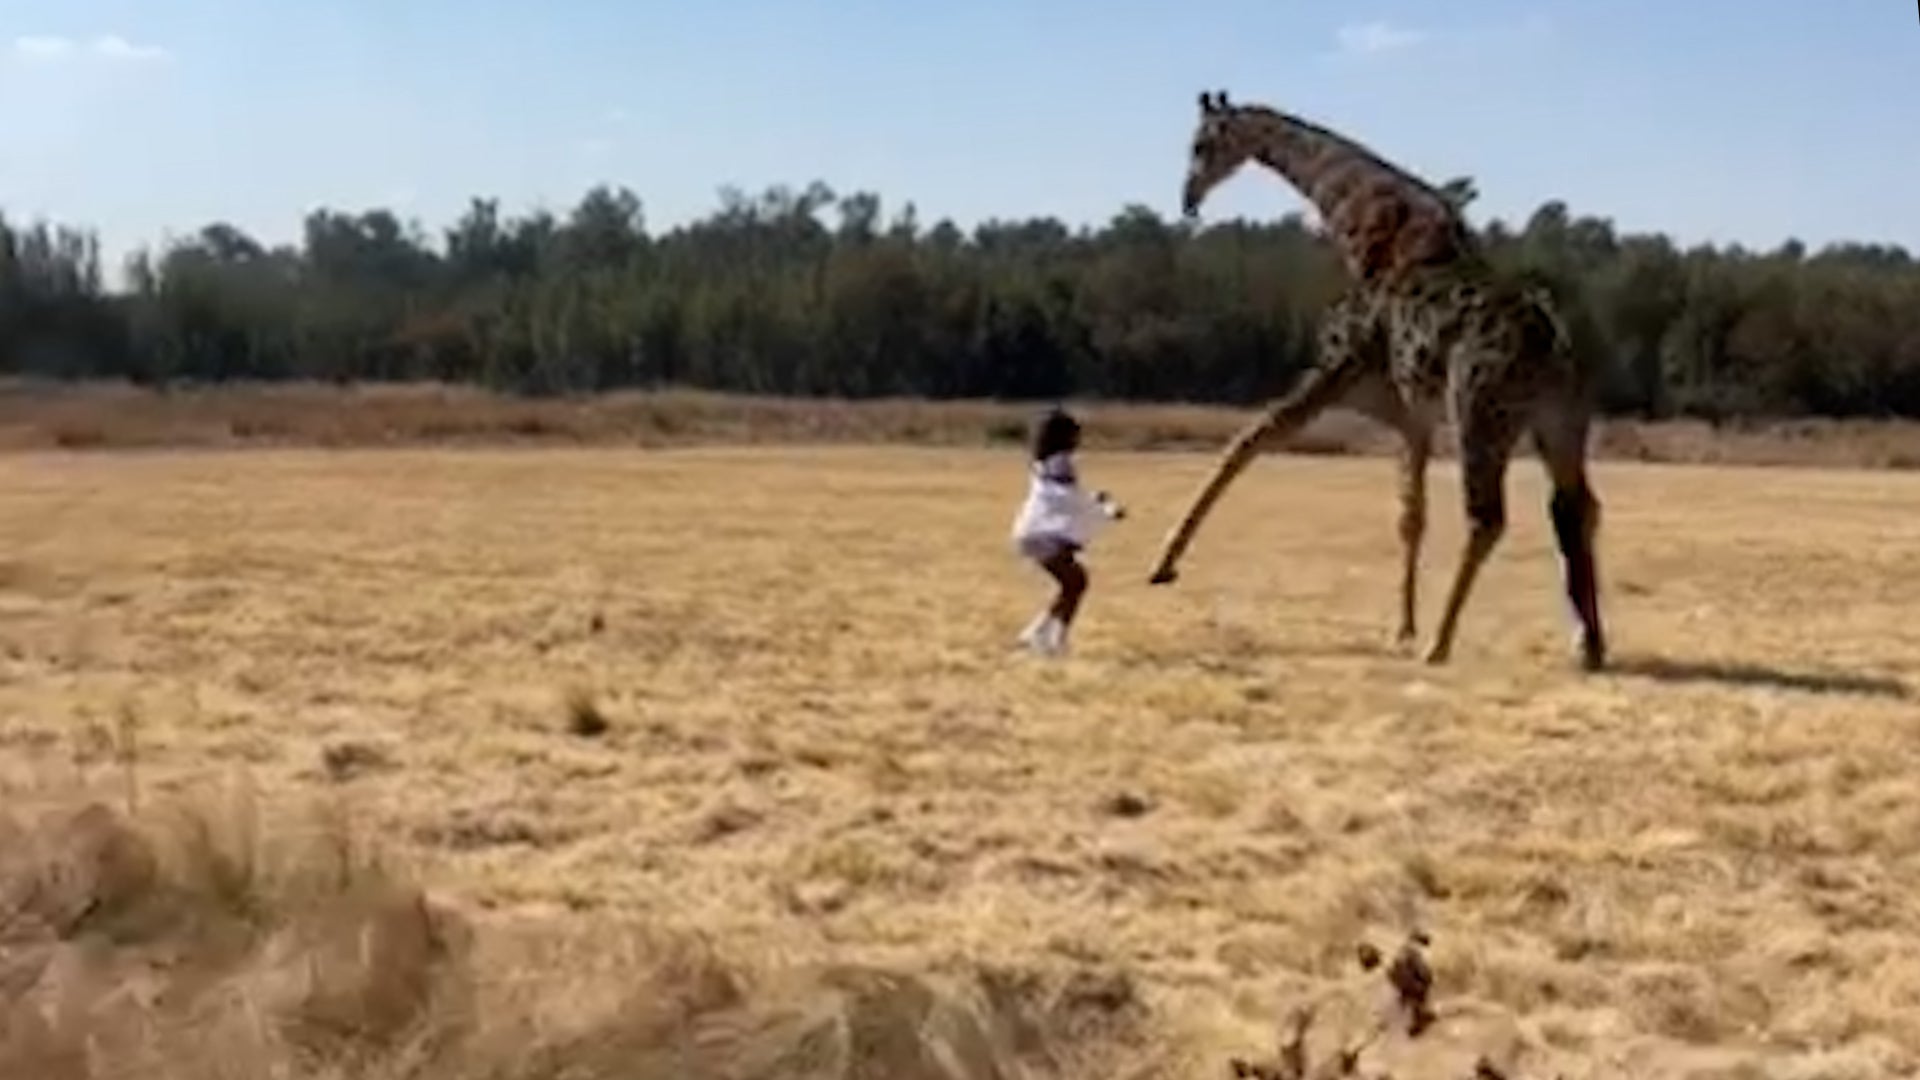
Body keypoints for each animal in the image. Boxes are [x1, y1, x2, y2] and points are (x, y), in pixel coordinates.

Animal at [1148, 91, 1606, 670]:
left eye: (1201, 144)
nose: (1188, 198)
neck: (1362, 230)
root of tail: (1551, 340)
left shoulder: (1336, 369)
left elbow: (1247, 441)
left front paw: (1164, 562)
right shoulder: (1410, 416)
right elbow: (1410, 515)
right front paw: (1402, 627)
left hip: (1479, 411)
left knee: (1488, 518)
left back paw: (1441, 644)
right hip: (1559, 422)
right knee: (1577, 507)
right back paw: (1589, 643)